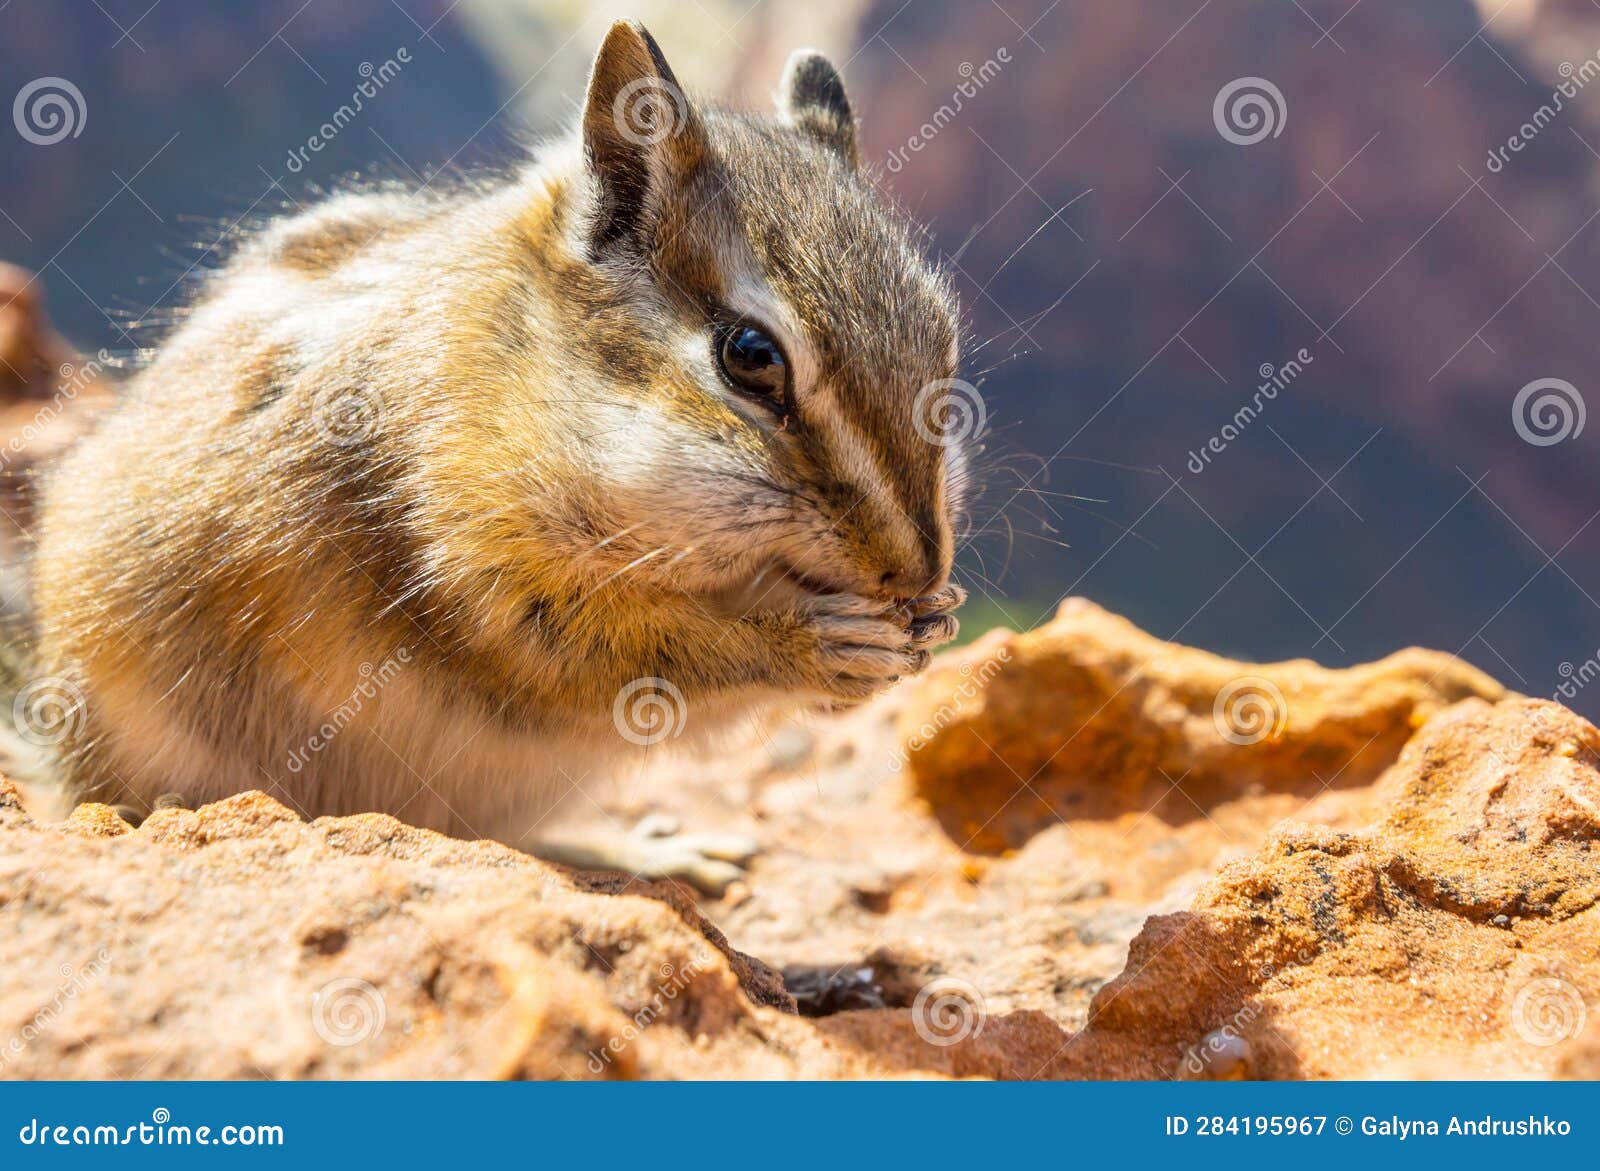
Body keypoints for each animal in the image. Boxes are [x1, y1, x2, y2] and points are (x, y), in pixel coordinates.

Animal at [7, 22, 968, 890]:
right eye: (751, 356)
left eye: (944, 337)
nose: (917, 569)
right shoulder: (460, 549)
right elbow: (619, 653)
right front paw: (818, 643)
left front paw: (935, 623)